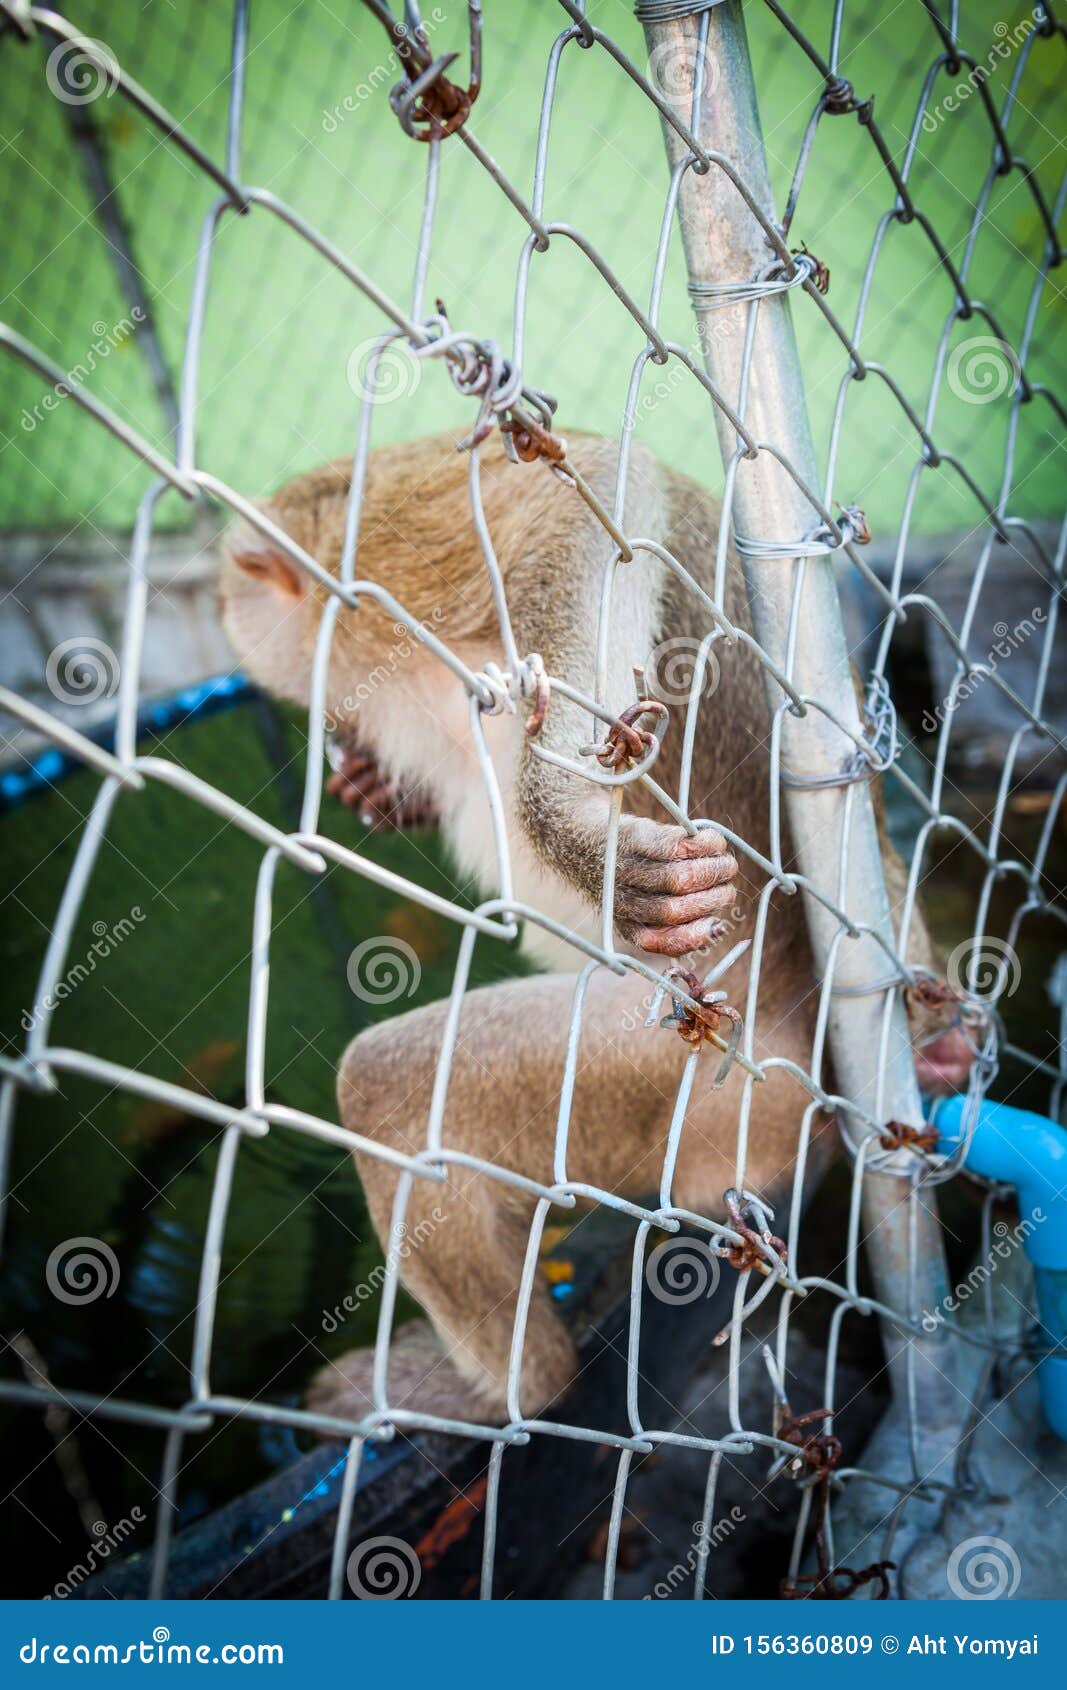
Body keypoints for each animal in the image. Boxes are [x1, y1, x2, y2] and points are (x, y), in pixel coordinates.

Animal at [220, 429, 978, 1426]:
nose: (341, 733)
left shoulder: (380, 546)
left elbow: (599, 493)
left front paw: (577, 833)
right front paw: (383, 788)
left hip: (706, 1069)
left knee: (389, 1085)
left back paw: (517, 1395)